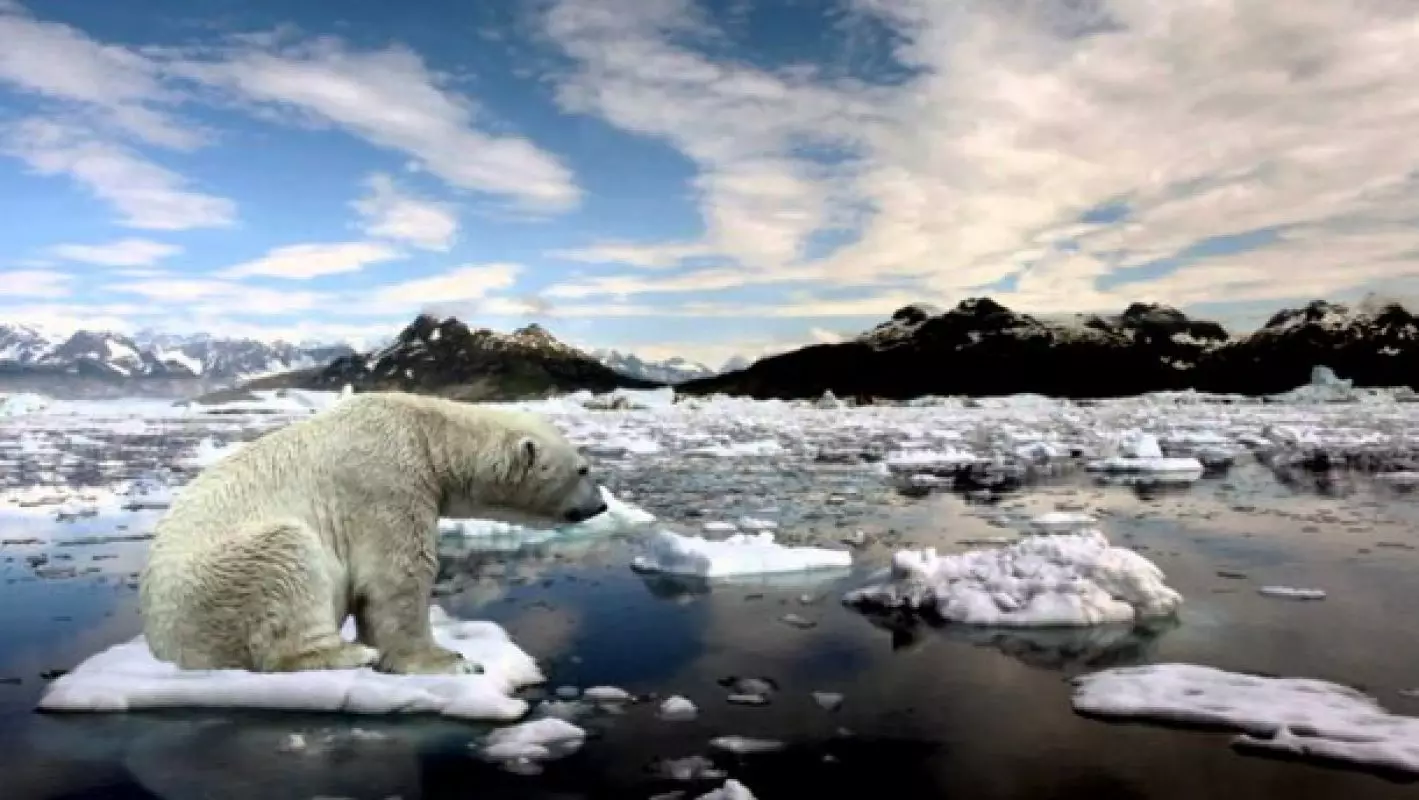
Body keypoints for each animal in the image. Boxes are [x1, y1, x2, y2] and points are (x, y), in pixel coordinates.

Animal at [138, 391, 610, 675]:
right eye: (584, 469)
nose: (602, 505)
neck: (425, 433)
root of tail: (162, 648)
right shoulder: (385, 484)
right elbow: (397, 576)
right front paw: (453, 660)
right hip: (222, 581)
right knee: (287, 560)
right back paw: (346, 653)